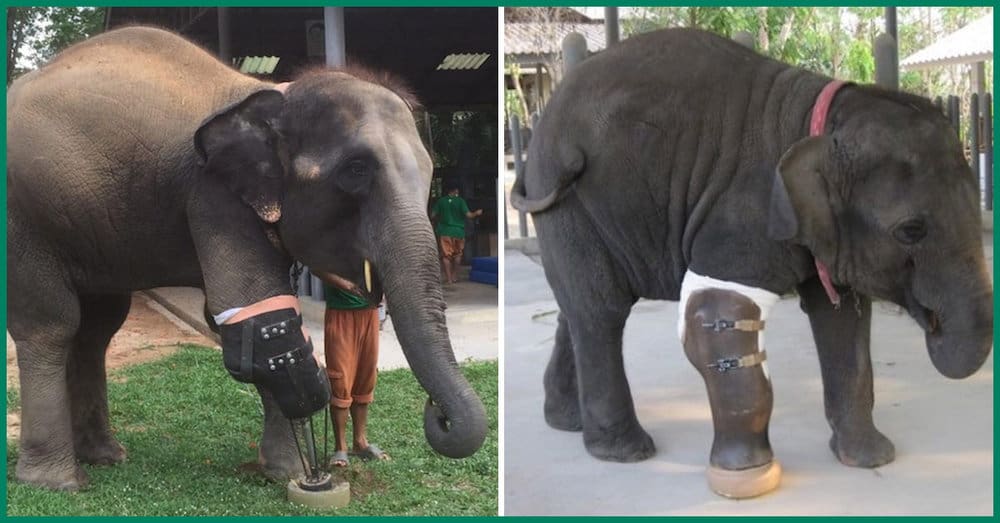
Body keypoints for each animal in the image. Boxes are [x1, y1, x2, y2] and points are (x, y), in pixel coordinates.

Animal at [7, 26, 487, 491]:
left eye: (430, 171)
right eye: (355, 170)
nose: (437, 412)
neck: (272, 95)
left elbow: (260, 318)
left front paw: (286, 472)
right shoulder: (212, 194)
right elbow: (251, 310)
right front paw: (300, 464)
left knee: (97, 329)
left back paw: (106, 457)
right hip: (24, 223)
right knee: (52, 327)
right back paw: (59, 482)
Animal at [511, 27, 991, 486]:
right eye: (911, 231)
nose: (934, 324)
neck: (819, 119)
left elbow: (842, 320)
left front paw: (870, 459)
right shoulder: (742, 211)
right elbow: (718, 312)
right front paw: (748, 474)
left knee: (577, 306)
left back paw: (567, 423)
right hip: (569, 202)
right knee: (602, 311)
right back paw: (626, 451)